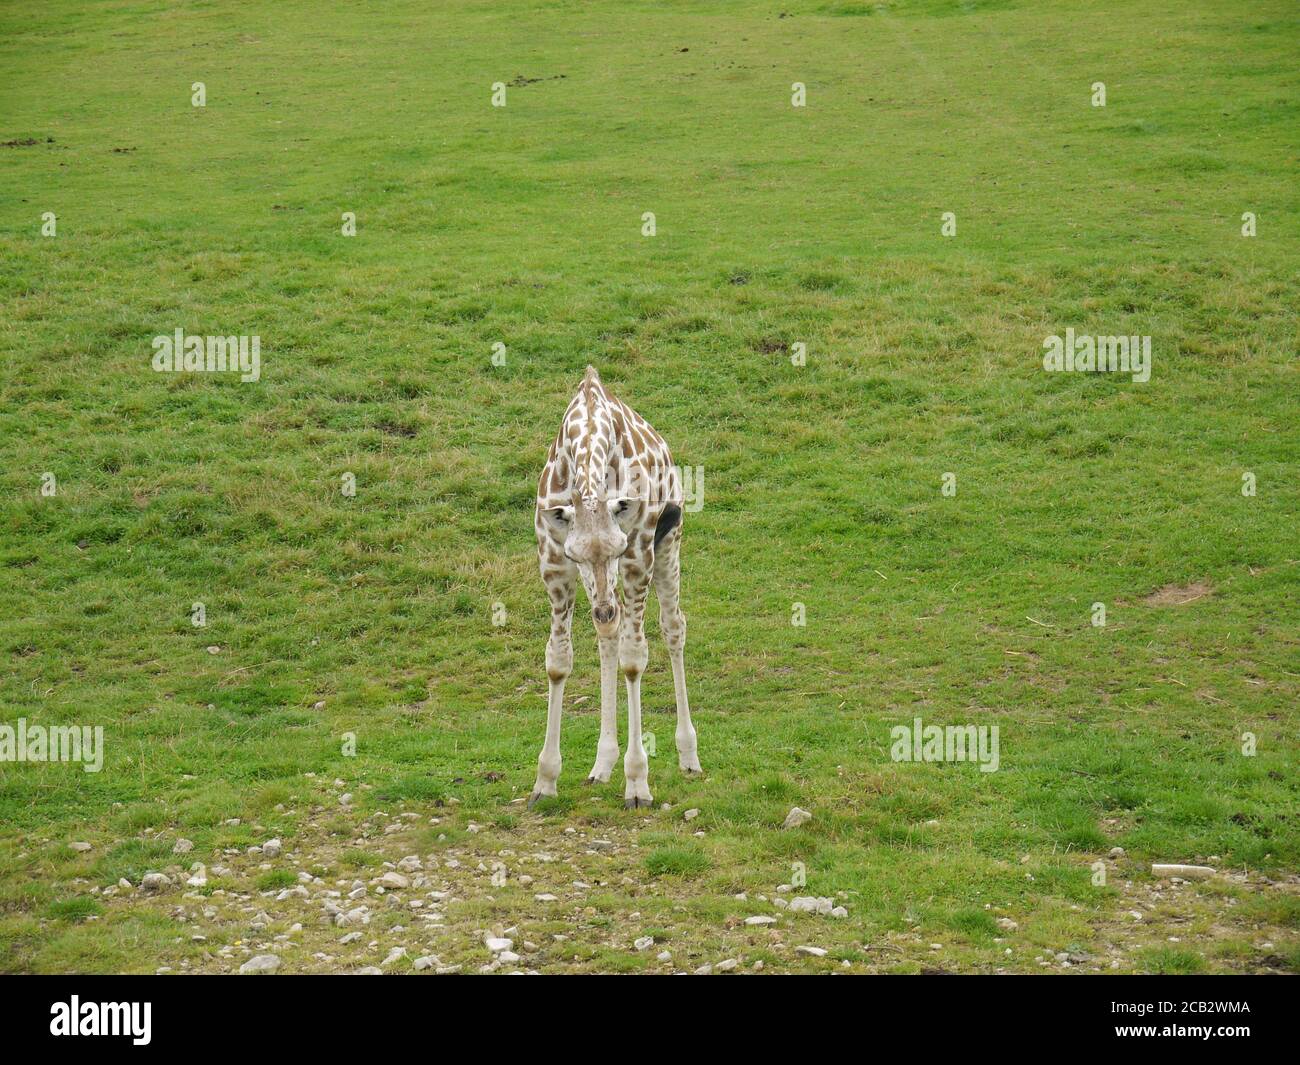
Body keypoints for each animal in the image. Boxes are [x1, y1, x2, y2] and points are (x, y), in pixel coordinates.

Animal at [530, 366, 700, 809]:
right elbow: (558, 661)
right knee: (609, 632)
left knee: (672, 626)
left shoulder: (637, 552)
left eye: (618, 546)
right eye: (575, 554)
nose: (604, 607)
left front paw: (638, 783)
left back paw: (689, 757)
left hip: (669, 543)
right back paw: (601, 765)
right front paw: (545, 780)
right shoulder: (553, 559)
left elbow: (634, 657)